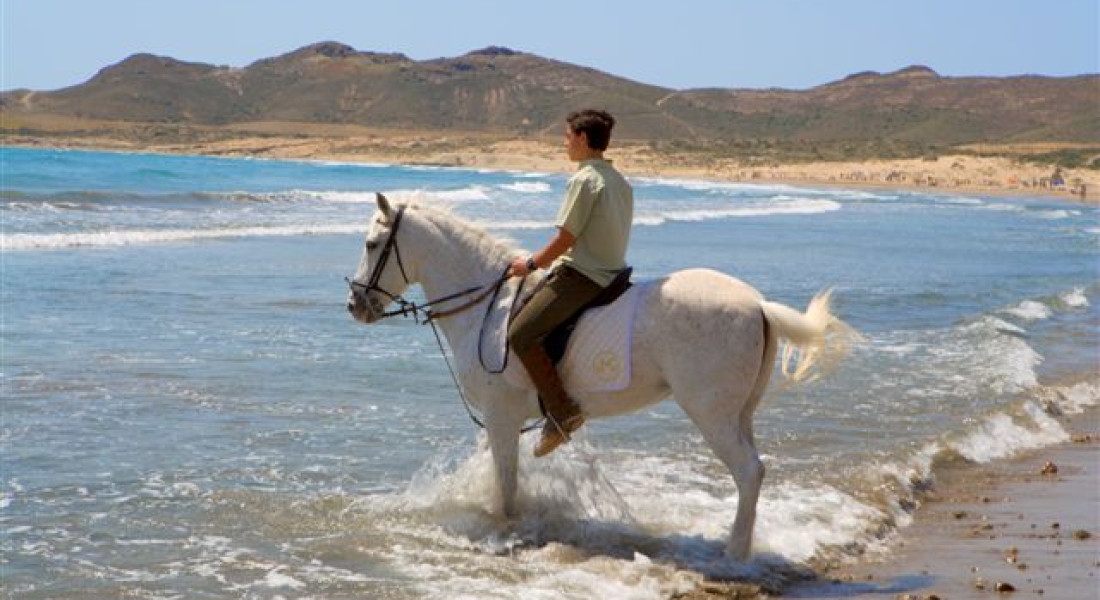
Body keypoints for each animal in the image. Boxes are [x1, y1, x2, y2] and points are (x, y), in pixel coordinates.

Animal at [346, 193, 856, 560]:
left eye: (372, 245)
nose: (356, 306)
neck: (489, 308)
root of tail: (758, 305)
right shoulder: (500, 421)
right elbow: (498, 474)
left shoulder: (500, 417)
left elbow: (506, 484)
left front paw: (506, 531)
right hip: (740, 413)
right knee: (755, 469)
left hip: (710, 413)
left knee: (749, 472)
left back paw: (734, 554)